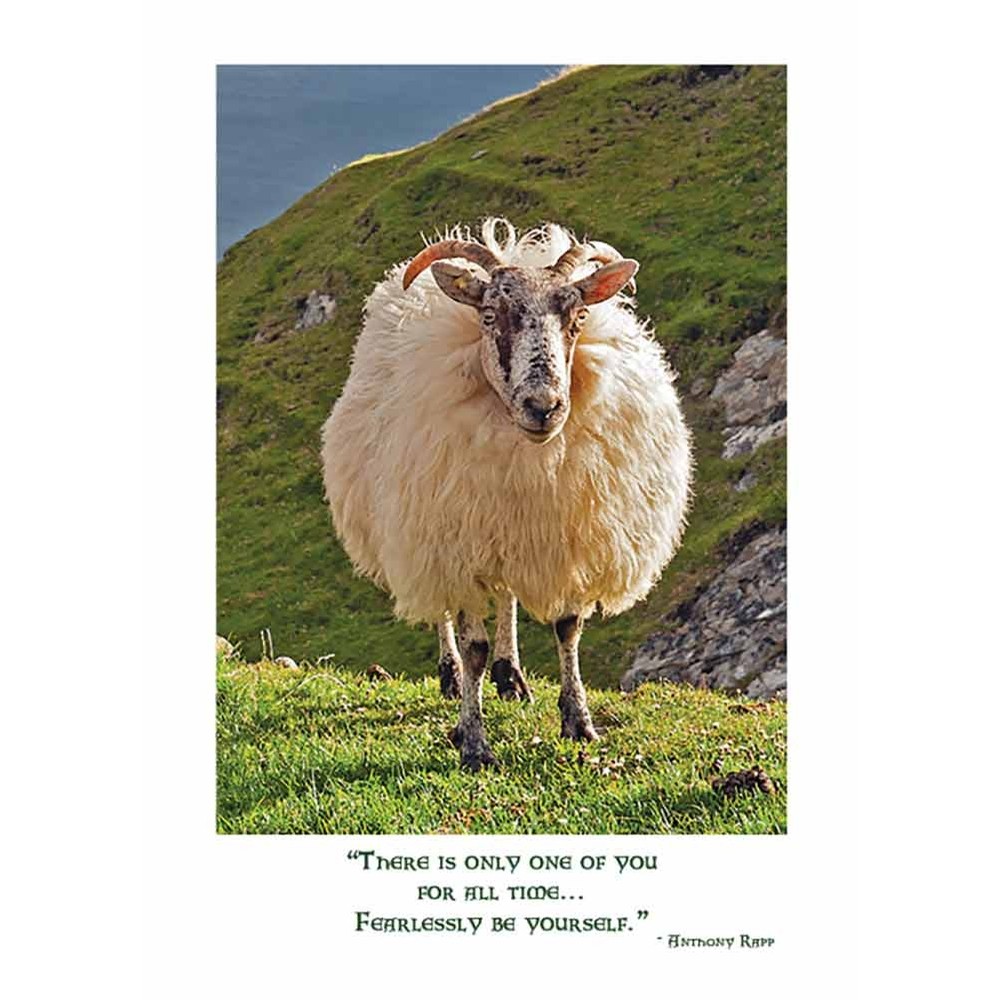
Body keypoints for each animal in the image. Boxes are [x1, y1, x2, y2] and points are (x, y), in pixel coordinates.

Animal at [321, 218, 692, 771]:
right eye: (490, 314)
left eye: (579, 316)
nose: (543, 406)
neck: (528, 459)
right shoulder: (459, 541)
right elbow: (472, 641)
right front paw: (474, 742)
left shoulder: (561, 533)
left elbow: (567, 629)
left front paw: (578, 722)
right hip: (422, 528)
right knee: (443, 611)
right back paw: (454, 676)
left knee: (508, 594)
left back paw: (510, 674)